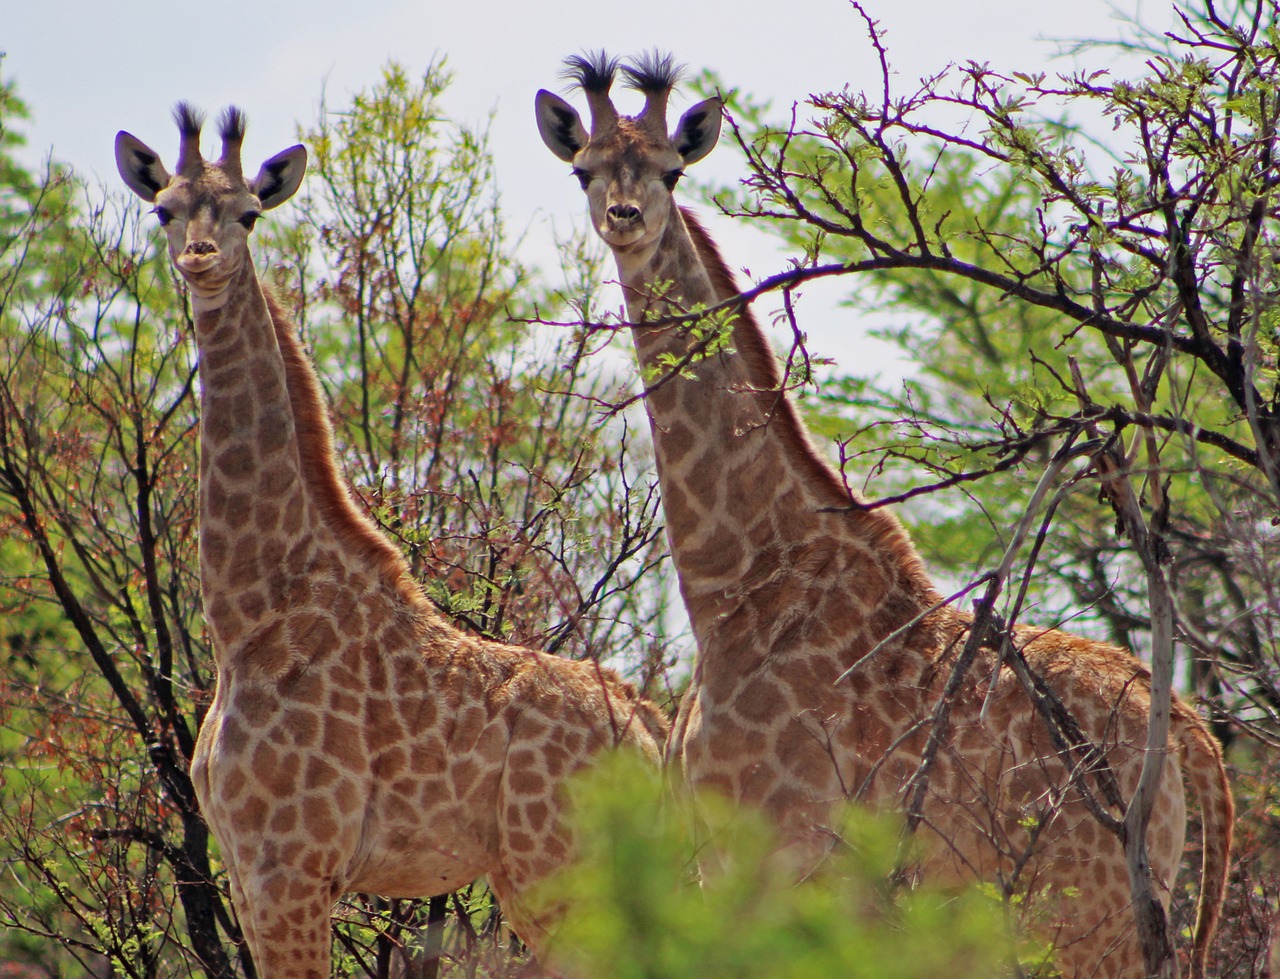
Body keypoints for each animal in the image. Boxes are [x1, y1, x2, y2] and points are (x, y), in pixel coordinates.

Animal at [115, 104, 667, 978]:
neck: (251, 615)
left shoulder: (290, 867)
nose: (201, 260)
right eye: (166, 211)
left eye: (248, 213)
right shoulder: (246, 871)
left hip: (556, 875)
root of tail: (648, 724)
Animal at [536, 52, 1233, 977]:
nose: (625, 217)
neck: (735, 586)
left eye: (670, 170)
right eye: (583, 170)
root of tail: (1191, 730)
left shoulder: (778, 867)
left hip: (1089, 917)